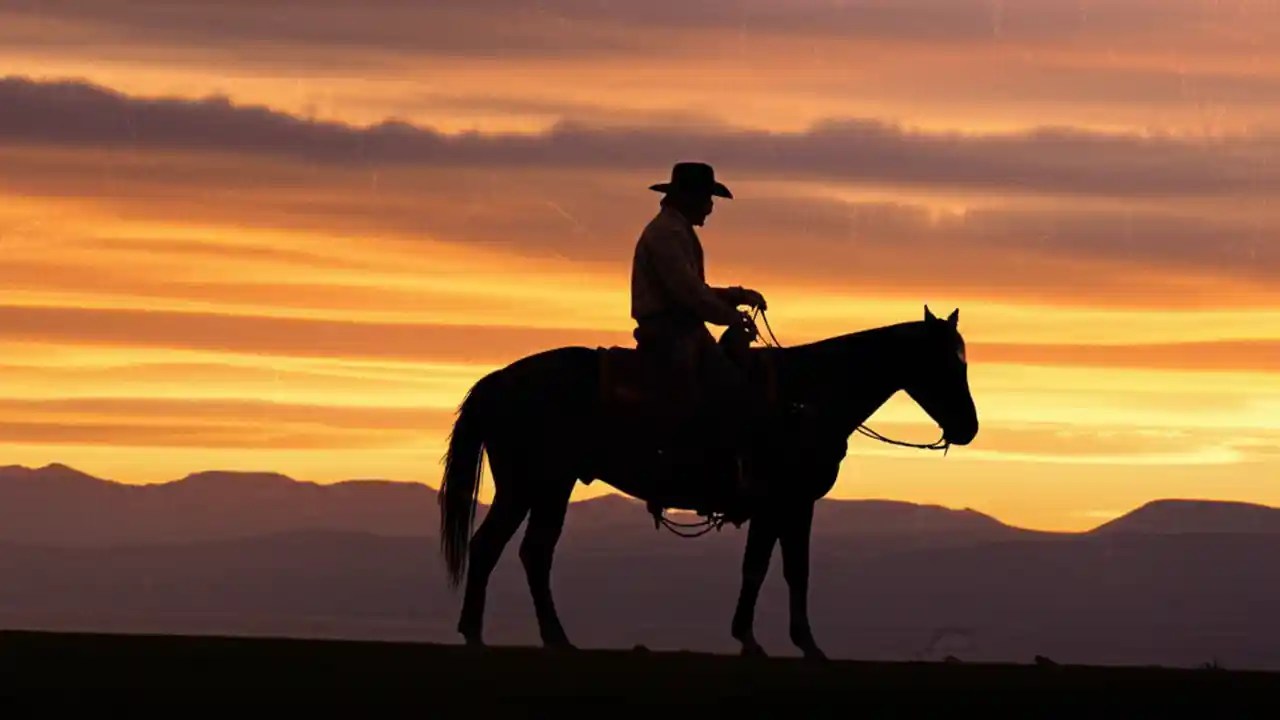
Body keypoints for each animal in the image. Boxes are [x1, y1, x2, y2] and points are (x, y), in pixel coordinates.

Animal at [437, 305, 979, 660]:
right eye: (946, 363)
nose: (969, 427)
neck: (805, 396)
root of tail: (499, 380)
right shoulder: (787, 503)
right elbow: (777, 570)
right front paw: (785, 642)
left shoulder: (781, 507)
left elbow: (773, 569)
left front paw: (772, 640)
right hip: (540, 483)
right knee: (514, 549)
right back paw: (527, 635)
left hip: (539, 486)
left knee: (510, 549)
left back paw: (505, 634)